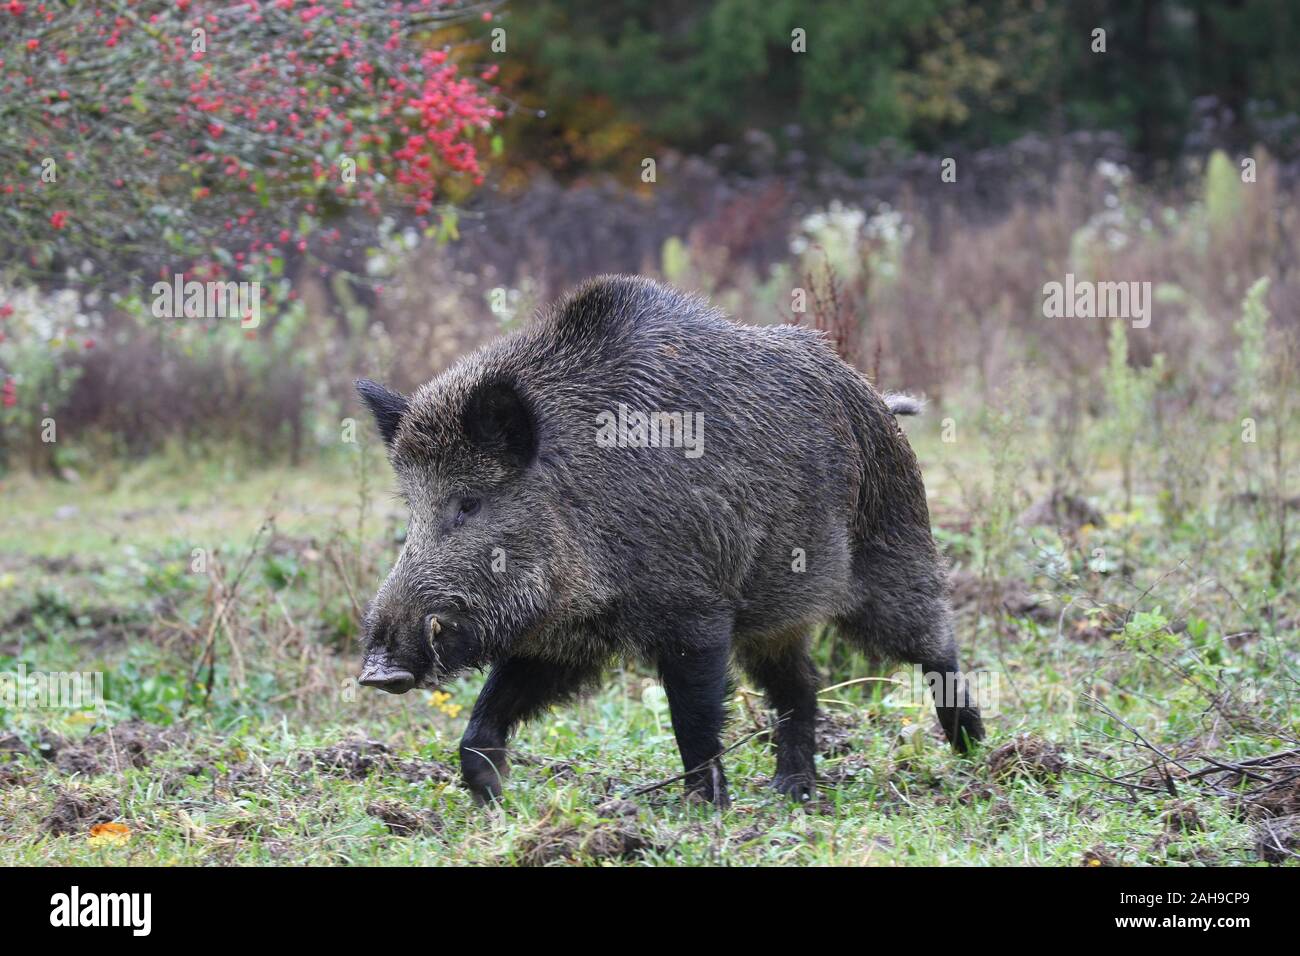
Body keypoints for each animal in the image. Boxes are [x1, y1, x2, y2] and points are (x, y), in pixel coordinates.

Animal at [356, 274, 984, 806]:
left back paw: (973, 752)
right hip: (774, 616)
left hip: (893, 552)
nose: (378, 670)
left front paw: (706, 807)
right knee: (801, 686)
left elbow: (694, 718)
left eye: (469, 503)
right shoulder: (564, 637)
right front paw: (490, 795)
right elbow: (490, 710)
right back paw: (791, 791)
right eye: (412, 508)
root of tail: (876, 398)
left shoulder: (696, 610)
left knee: (938, 645)